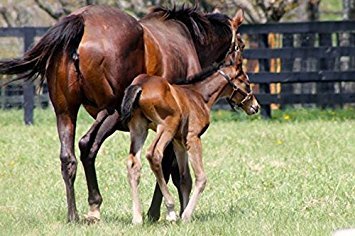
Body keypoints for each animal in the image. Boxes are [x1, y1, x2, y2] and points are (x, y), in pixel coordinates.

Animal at [0, 5, 246, 223]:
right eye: (241, 46)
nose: (240, 69)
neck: (187, 37)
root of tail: (82, 20)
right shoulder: (172, 125)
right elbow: (171, 168)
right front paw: (164, 211)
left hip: (66, 112)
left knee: (73, 155)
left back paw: (79, 213)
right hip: (114, 111)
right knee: (93, 147)